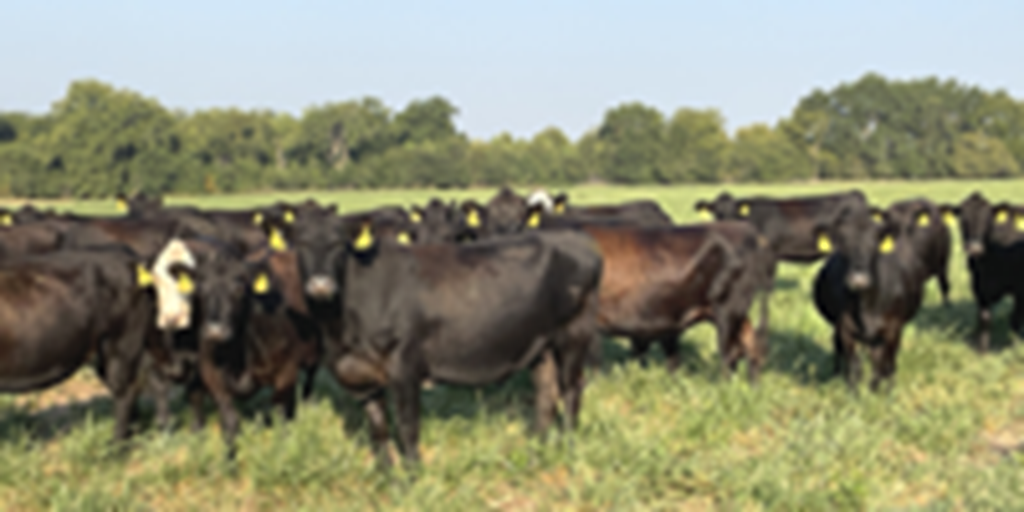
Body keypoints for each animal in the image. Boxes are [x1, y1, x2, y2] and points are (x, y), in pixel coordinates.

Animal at [275, 211, 603, 466]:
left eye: (339, 244)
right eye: (300, 244)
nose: (320, 284)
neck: (341, 330)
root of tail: (578, 239)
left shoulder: (404, 367)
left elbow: (407, 427)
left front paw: (412, 478)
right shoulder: (360, 375)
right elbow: (378, 429)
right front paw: (387, 476)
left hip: (575, 334)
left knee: (571, 389)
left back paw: (569, 448)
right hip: (541, 344)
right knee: (546, 393)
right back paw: (536, 451)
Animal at [813, 204, 932, 391]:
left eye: (875, 244)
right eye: (843, 244)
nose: (858, 278)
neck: (866, 307)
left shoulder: (893, 328)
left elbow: (885, 362)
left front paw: (884, 390)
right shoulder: (845, 328)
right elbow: (854, 364)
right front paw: (854, 391)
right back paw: (837, 374)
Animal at [941, 193, 1024, 352]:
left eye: (988, 220)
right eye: (963, 221)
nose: (974, 248)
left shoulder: (1019, 289)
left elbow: (1015, 319)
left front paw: (1015, 347)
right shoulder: (978, 286)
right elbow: (984, 318)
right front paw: (982, 349)